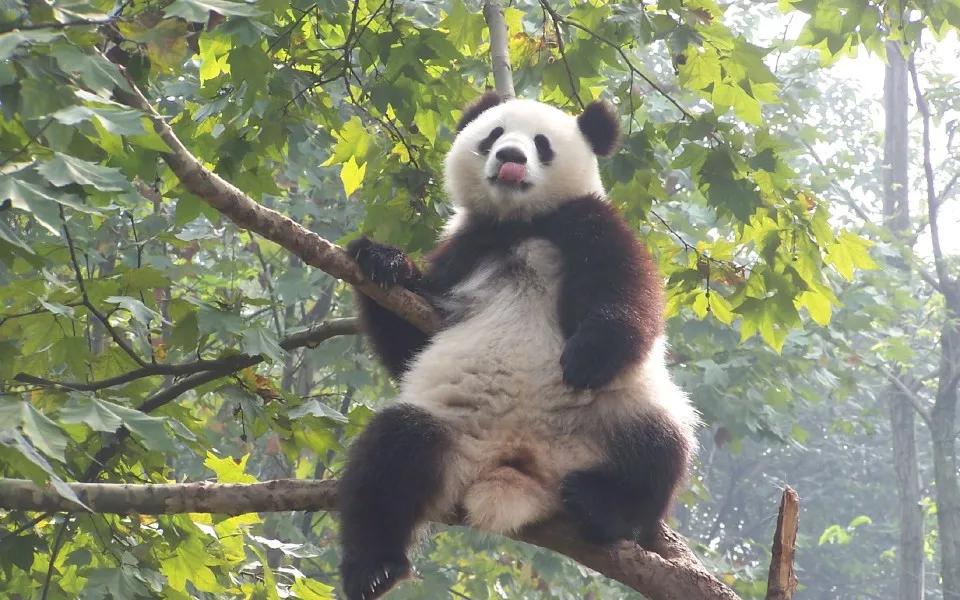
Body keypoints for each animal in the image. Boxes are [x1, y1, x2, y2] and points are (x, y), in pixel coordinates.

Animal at [338, 92, 699, 600]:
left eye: (541, 144)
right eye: (494, 134)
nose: (510, 157)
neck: (517, 225)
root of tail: (516, 467)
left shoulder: (586, 221)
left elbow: (626, 289)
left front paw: (587, 356)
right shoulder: (462, 249)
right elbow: (410, 344)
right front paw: (381, 260)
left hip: (614, 417)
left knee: (660, 451)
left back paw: (601, 504)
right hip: (453, 433)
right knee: (392, 457)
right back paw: (372, 568)